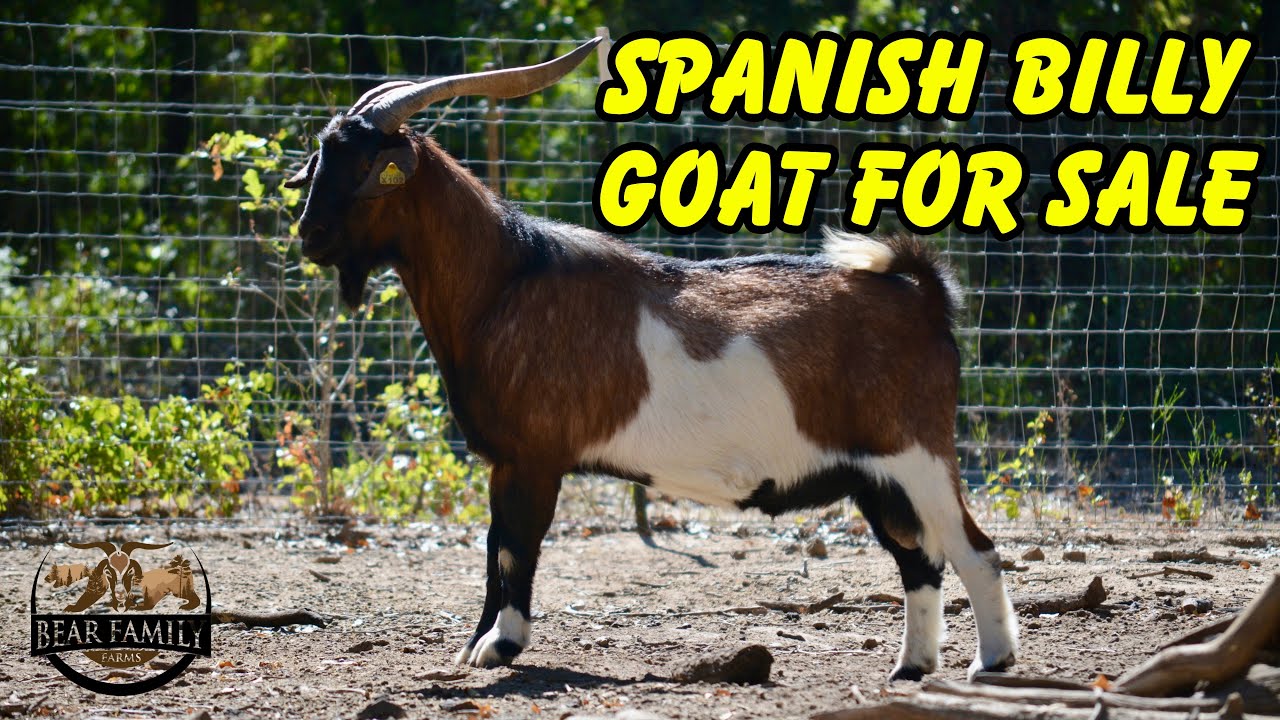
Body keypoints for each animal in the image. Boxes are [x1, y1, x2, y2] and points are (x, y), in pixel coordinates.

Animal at [284, 38, 1017, 681]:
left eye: (364, 168)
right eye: (322, 157)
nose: (309, 235)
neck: (504, 280)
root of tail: (922, 296)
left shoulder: (533, 457)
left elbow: (515, 548)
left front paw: (500, 646)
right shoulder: (504, 462)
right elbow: (493, 549)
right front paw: (475, 645)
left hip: (917, 453)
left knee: (974, 550)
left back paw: (992, 664)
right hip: (876, 476)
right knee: (918, 559)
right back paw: (911, 667)